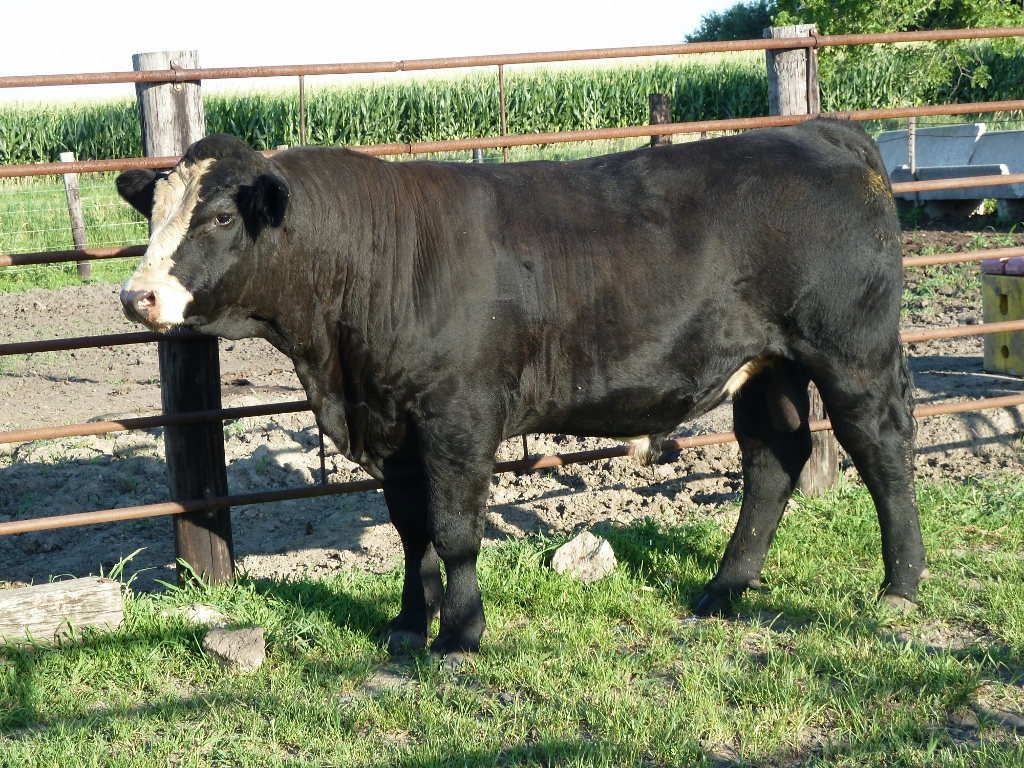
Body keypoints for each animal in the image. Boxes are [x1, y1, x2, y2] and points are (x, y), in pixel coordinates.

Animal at [116, 118, 924, 657]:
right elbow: (412, 532)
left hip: (851, 353)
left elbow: (455, 530)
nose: (136, 296)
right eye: (153, 213)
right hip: (765, 366)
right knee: (773, 461)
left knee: (882, 452)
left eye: (221, 216)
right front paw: (407, 626)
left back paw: (900, 588)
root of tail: (820, 132)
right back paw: (723, 590)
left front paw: (460, 634)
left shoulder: (458, 417)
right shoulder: (393, 427)